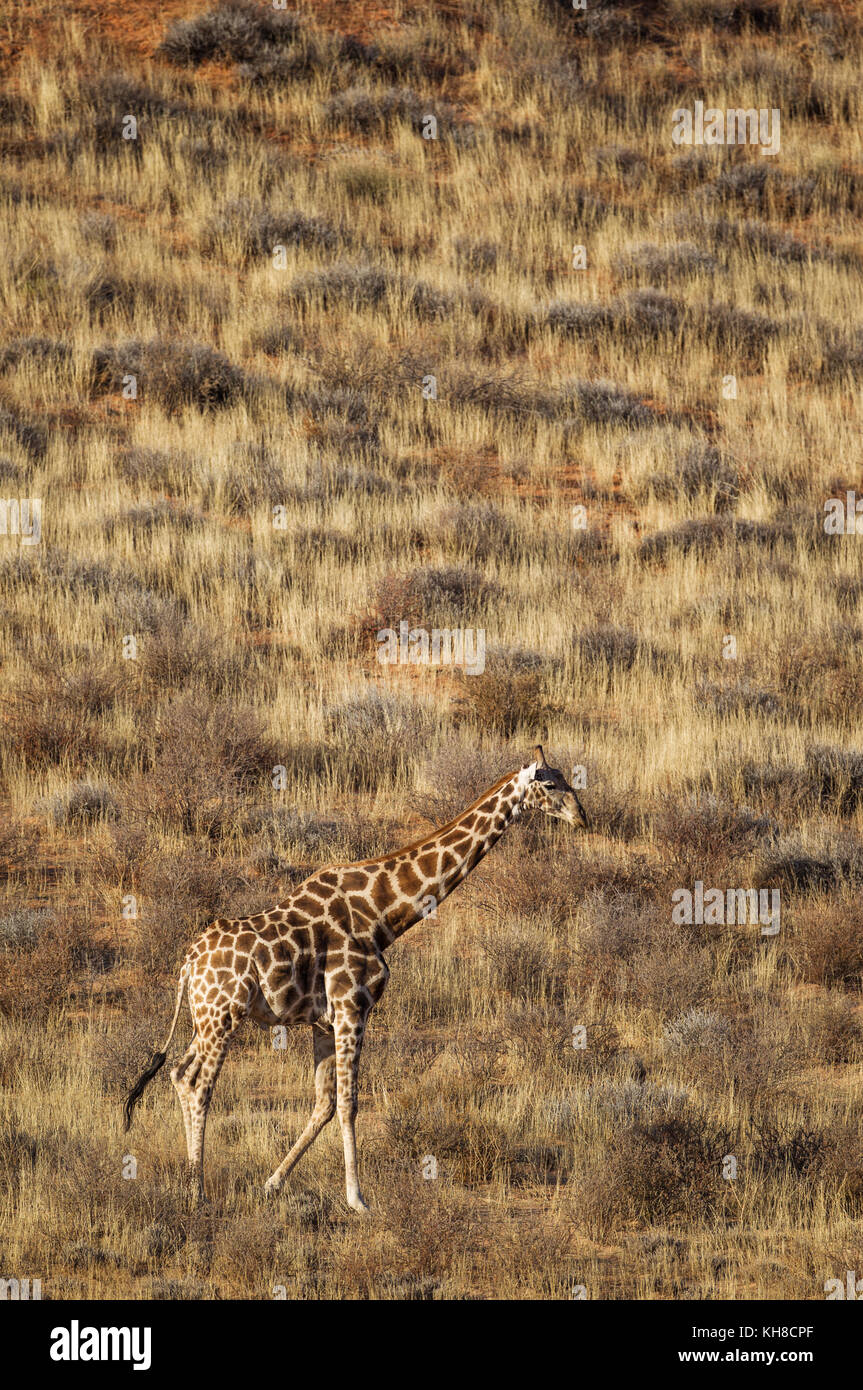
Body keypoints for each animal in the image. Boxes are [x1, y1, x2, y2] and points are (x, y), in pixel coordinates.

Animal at [124, 746, 588, 1213]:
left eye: (569, 779)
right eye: (550, 784)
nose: (582, 817)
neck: (384, 914)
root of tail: (187, 964)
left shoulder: (323, 1020)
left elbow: (325, 1103)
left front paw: (273, 1183)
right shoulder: (353, 1005)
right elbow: (349, 1102)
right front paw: (357, 1198)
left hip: (203, 1018)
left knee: (179, 1074)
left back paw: (193, 1181)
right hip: (223, 1016)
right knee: (199, 1085)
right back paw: (197, 1194)